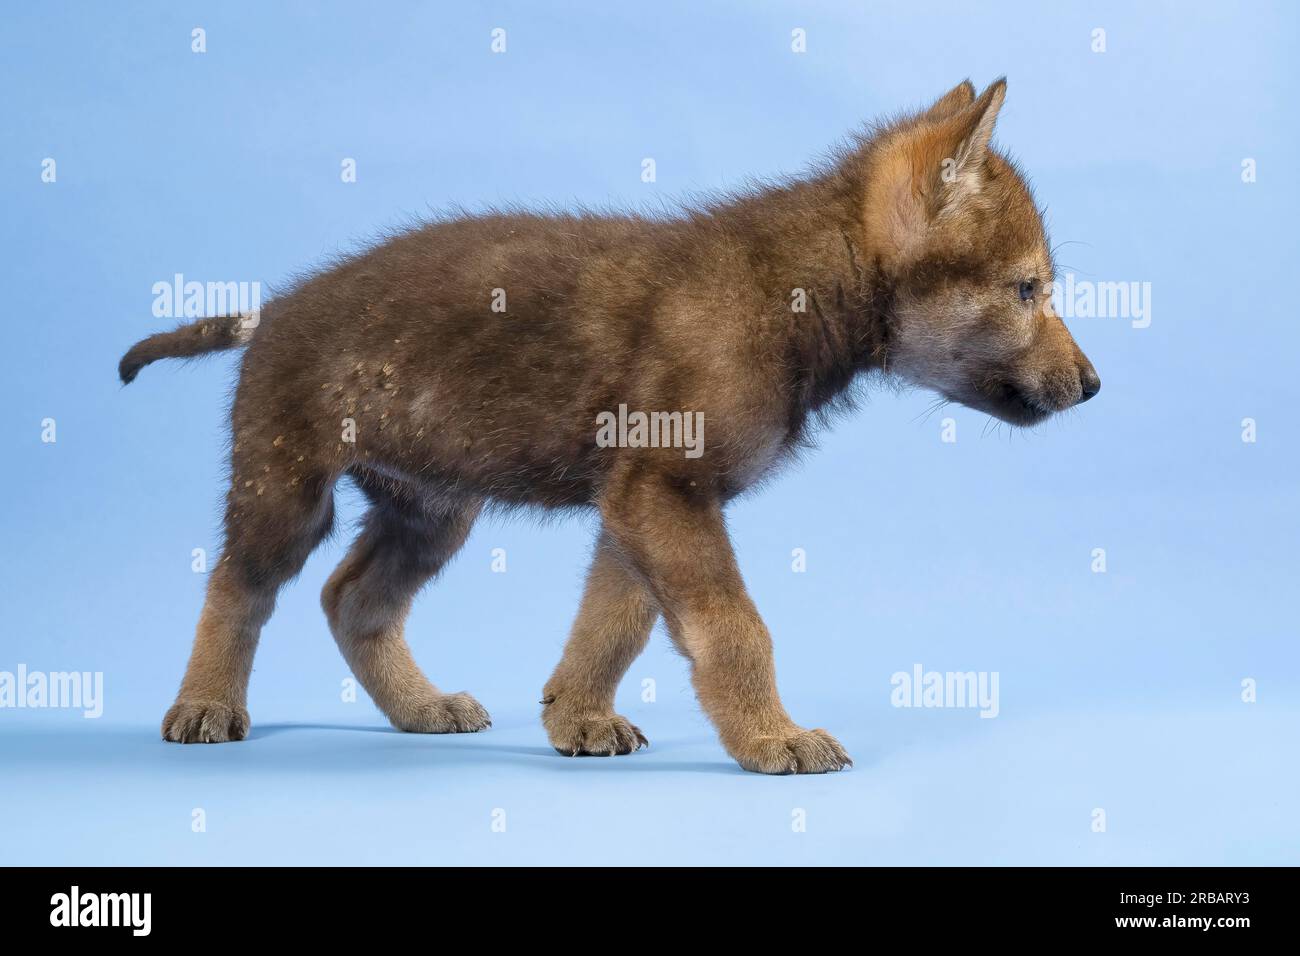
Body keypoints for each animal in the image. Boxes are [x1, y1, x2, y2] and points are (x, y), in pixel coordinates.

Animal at [120, 79, 1099, 773]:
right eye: (1027, 289)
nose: (1093, 386)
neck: (798, 291)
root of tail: (270, 309)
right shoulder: (665, 491)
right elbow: (734, 628)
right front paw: (772, 740)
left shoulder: (637, 501)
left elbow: (612, 625)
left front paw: (577, 717)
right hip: (287, 490)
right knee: (239, 587)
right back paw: (205, 706)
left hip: (430, 508)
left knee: (351, 598)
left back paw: (421, 709)